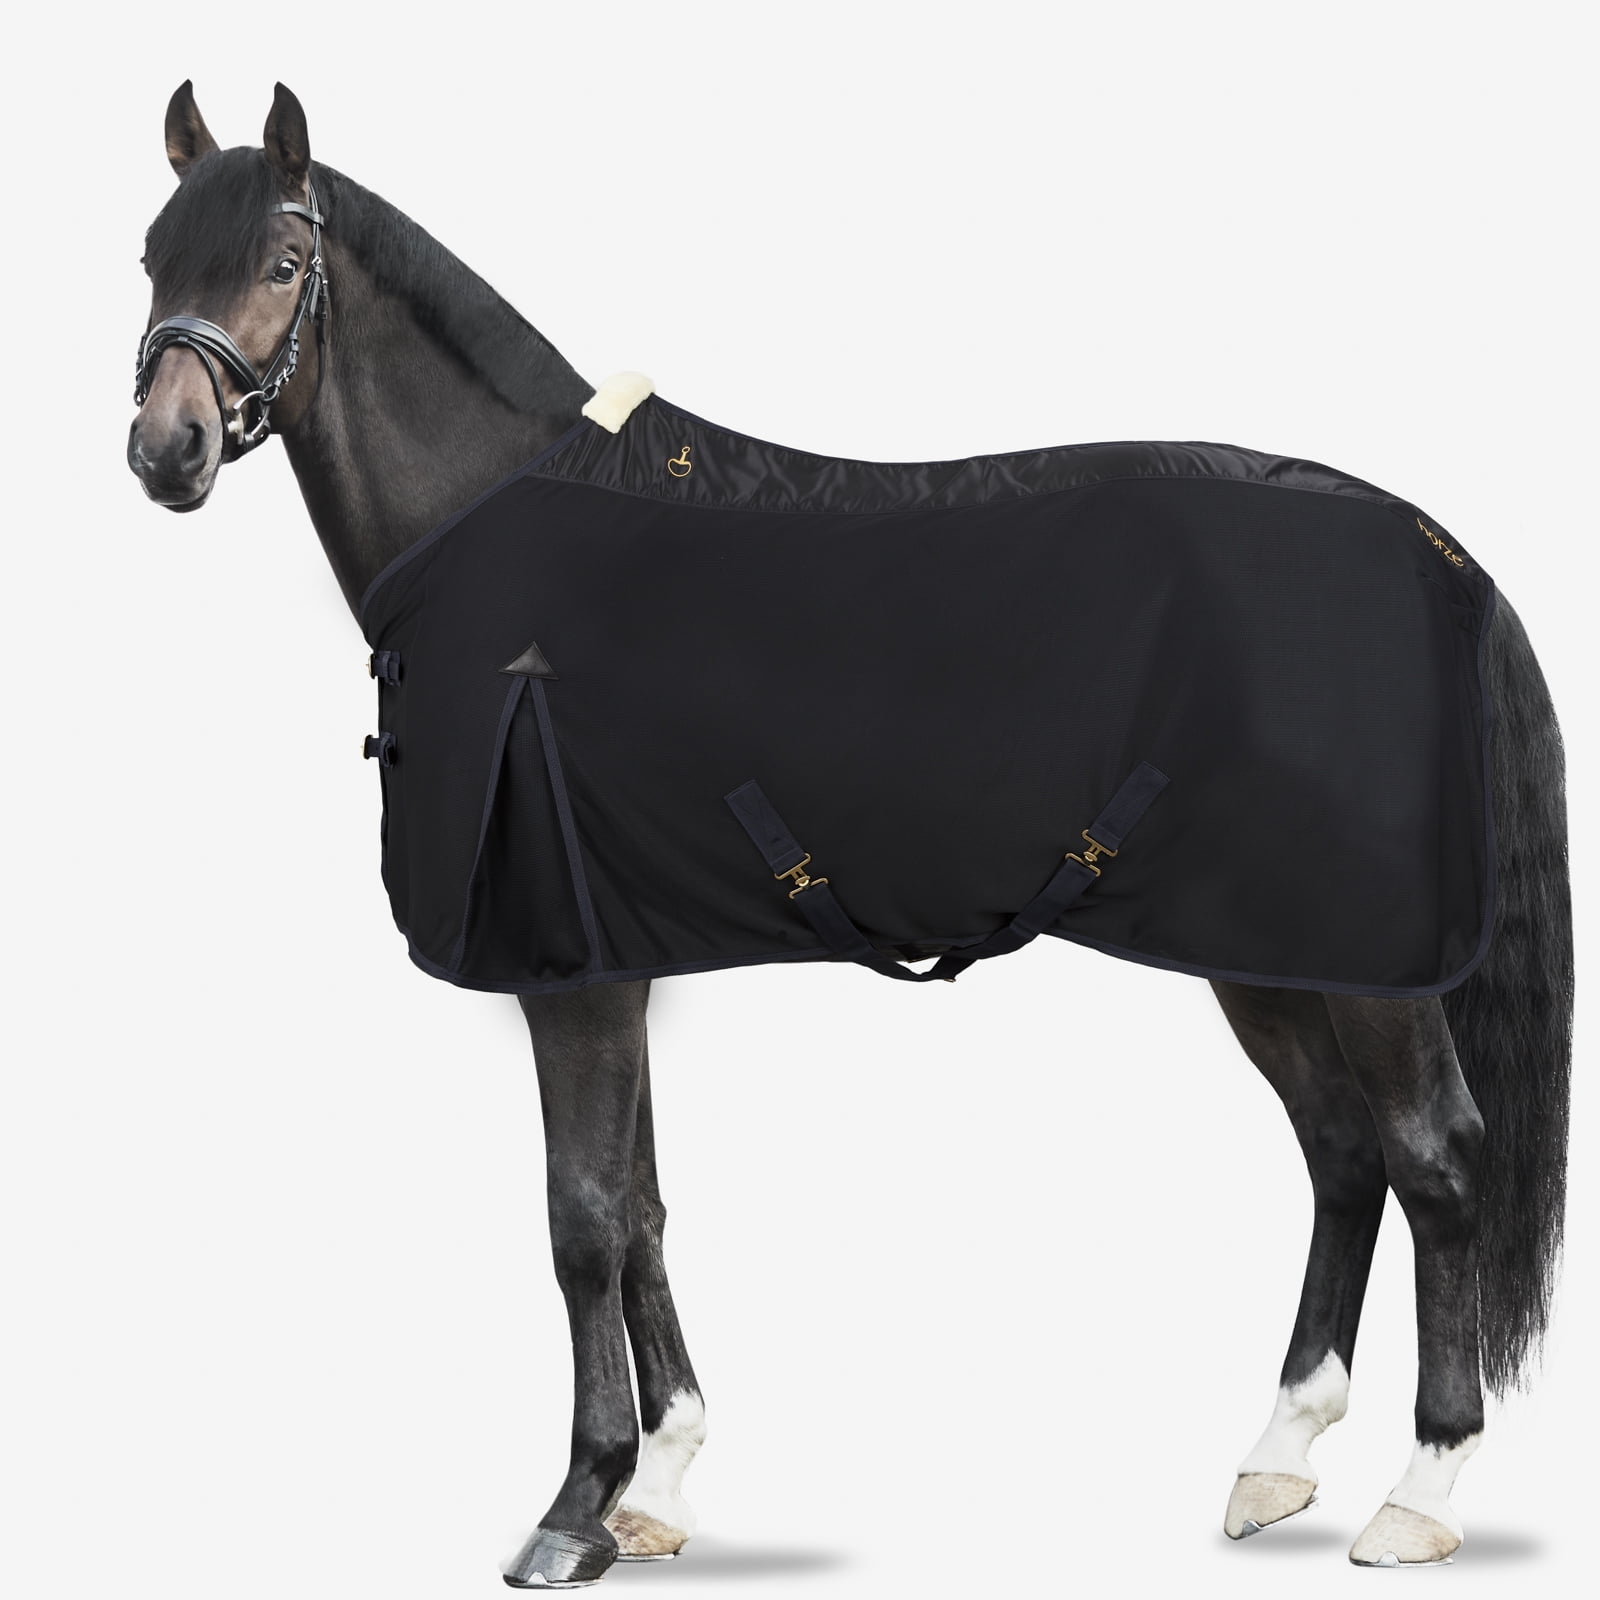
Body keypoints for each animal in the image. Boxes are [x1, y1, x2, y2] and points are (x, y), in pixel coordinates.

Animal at [125, 82, 1572, 1586]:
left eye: (281, 263)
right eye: (151, 259)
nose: (166, 451)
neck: (501, 537)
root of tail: (1435, 551)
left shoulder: (565, 974)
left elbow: (581, 1218)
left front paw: (576, 1504)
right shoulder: (616, 956)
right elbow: (642, 1205)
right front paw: (661, 1483)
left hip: (1368, 968)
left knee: (1436, 1161)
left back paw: (1422, 1490)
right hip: (1265, 951)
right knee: (1342, 1155)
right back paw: (1279, 1456)